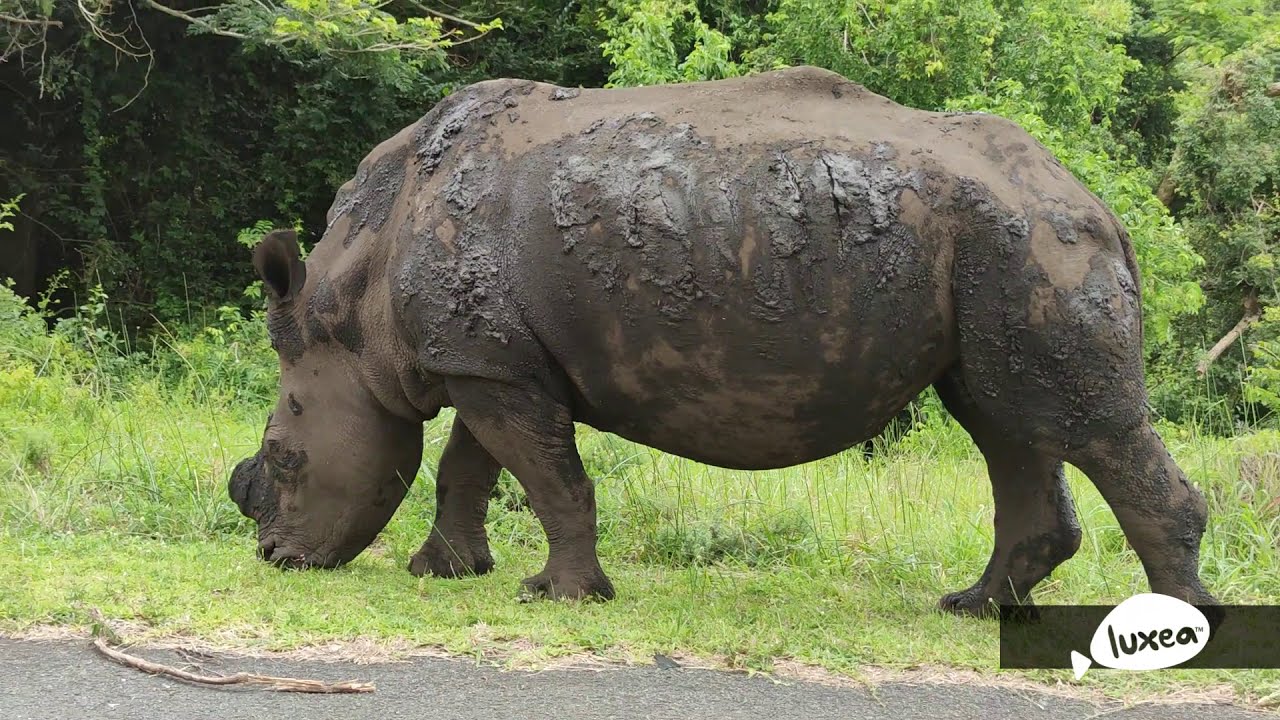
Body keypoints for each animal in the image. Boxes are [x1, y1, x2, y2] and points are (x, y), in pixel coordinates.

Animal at [228, 66, 1218, 615]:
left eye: (282, 458)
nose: (277, 560)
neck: (349, 313)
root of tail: (1096, 201)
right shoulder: (485, 355)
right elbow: (469, 465)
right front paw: (446, 573)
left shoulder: (487, 363)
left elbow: (546, 475)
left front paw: (560, 597)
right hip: (1003, 245)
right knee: (1007, 423)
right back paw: (971, 608)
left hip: (1032, 243)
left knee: (1076, 425)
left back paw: (1177, 632)